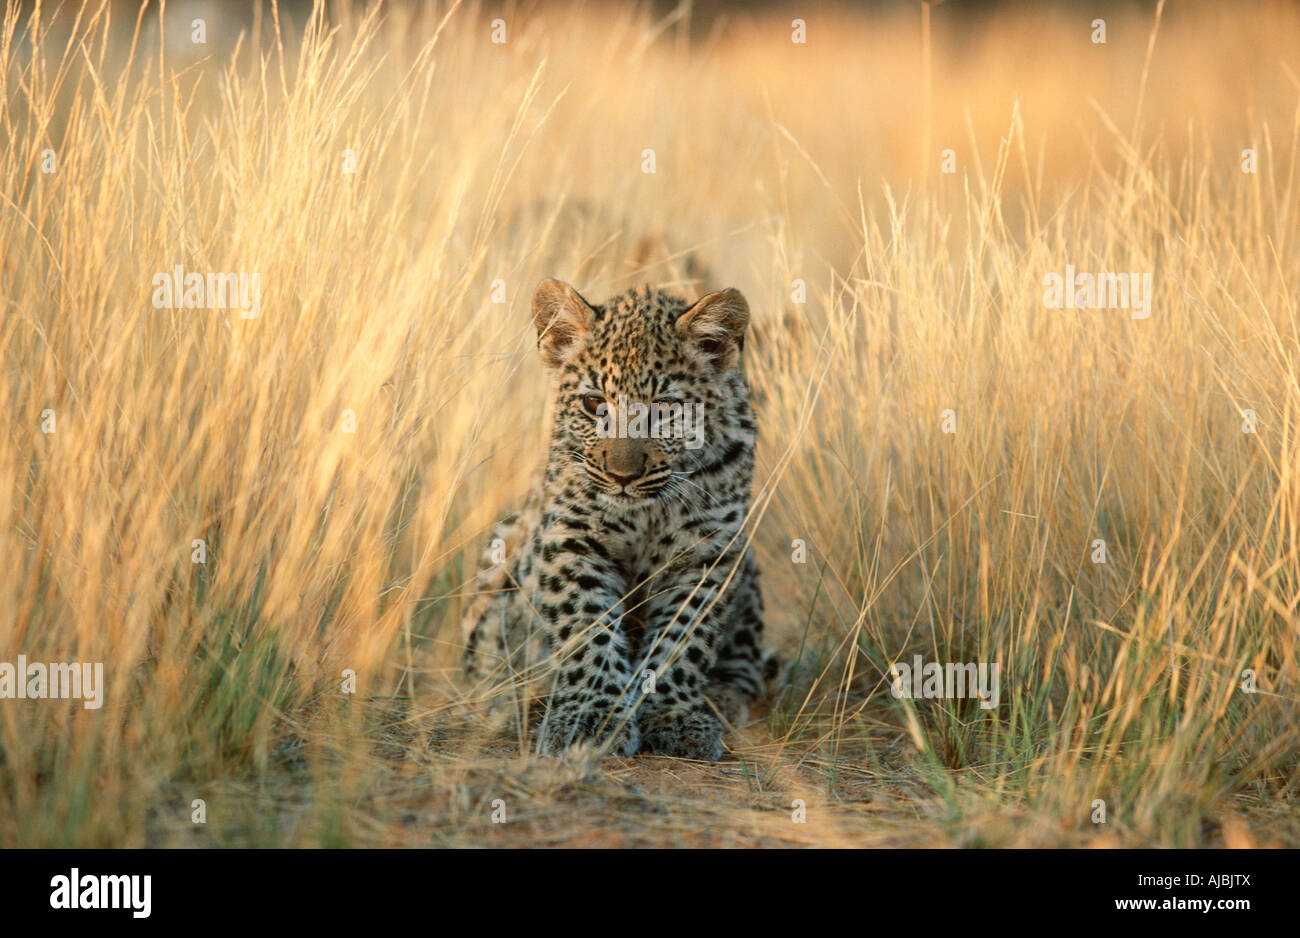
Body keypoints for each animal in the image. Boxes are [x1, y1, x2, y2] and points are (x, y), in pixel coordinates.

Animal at [461, 278, 767, 761]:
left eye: (665, 409)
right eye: (593, 403)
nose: (623, 476)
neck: (649, 511)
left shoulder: (706, 552)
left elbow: (684, 638)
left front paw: (673, 713)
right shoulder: (572, 538)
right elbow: (588, 629)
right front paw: (590, 716)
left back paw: (723, 698)